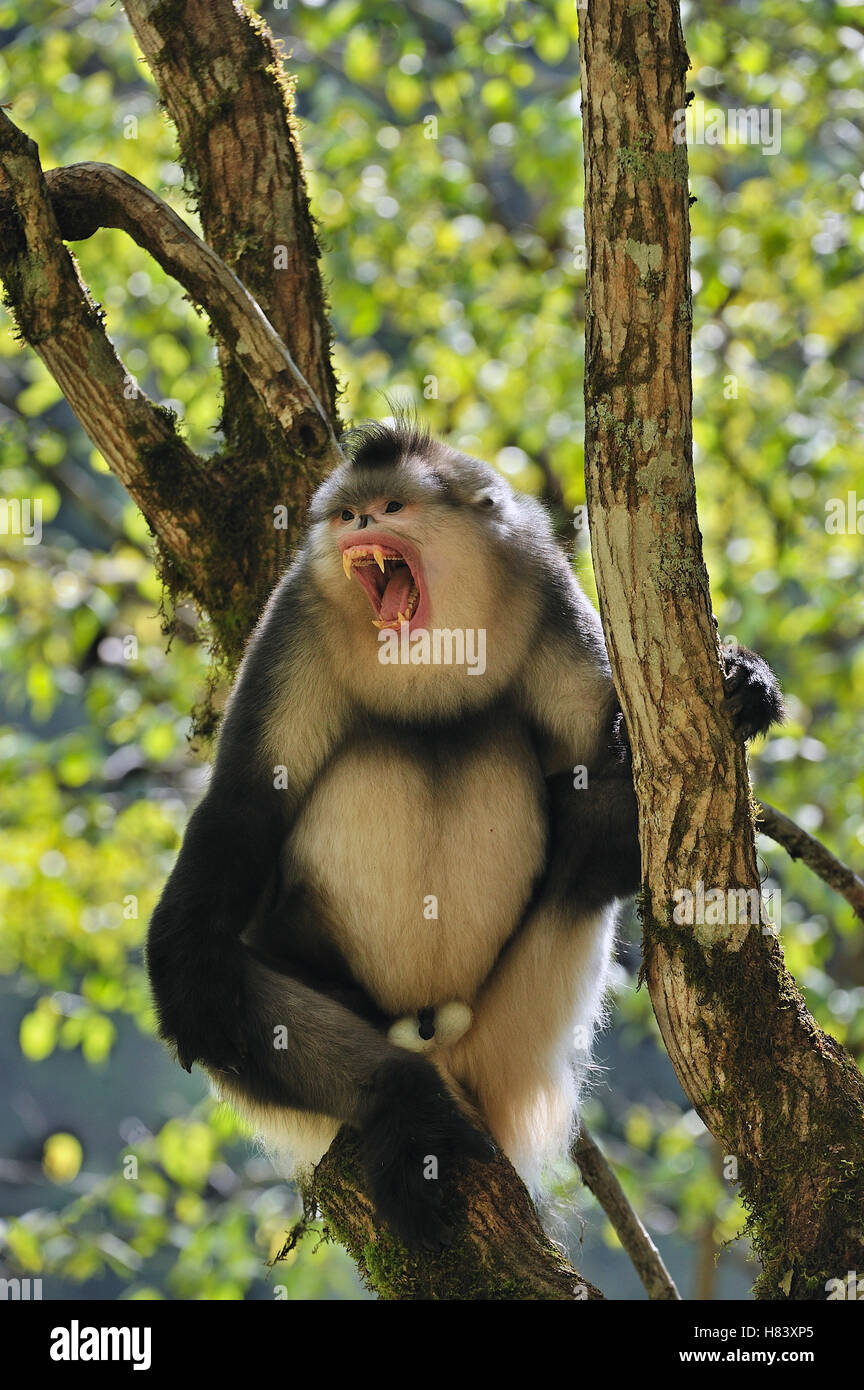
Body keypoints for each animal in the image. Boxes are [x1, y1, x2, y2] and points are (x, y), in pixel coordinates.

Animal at [147, 419, 782, 1250]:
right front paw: (186, 975)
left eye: (391, 506)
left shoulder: (546, 595)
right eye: (345, 514)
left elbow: (615, 770)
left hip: (519, 1009)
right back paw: (405, 1108)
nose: (359, 524)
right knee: (244, 1004)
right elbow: (244, 805)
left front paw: (742, 681)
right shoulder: (295, 620)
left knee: (552, 812)